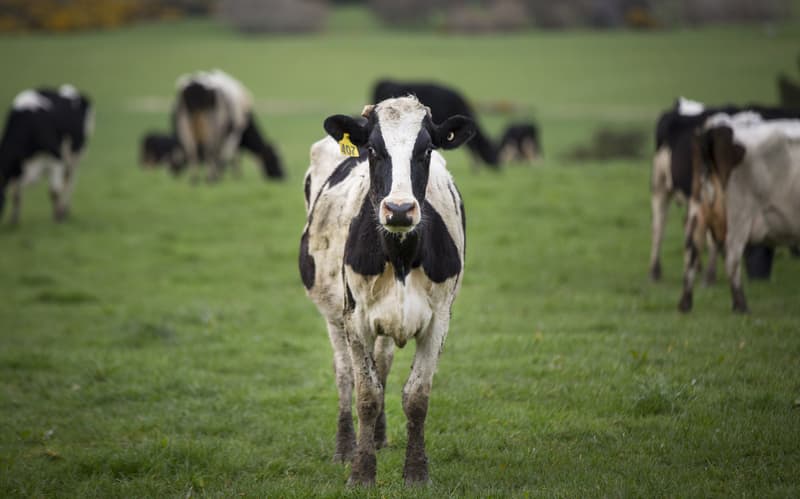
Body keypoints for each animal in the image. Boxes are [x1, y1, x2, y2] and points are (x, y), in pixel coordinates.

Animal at [0, 85, 93, 224]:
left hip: (75, 156)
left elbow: (54, 192)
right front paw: (14, 220)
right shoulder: (16, 169)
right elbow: (16, 194)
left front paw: (57, 218)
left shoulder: (56, 158)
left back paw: (65, 210)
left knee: (69, 181)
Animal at [299, 96, 474, 485]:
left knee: (382, 364)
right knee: (344, 374)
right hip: (334, 316)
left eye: (426, 150)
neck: (401, 257)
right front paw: (361, 472)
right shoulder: (356, 320)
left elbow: (416, 397)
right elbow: (366, 395)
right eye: (374, 150)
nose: (399, 209)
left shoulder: (439, 320)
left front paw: (417, 472)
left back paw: (378, 438)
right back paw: (345, 447)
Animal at [678, 116, 800, 313]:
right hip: (739, 215)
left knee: (691, 252)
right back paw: (741, 306)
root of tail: (713, 131)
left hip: (698, 211)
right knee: (732, 258)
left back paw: (685, 304)